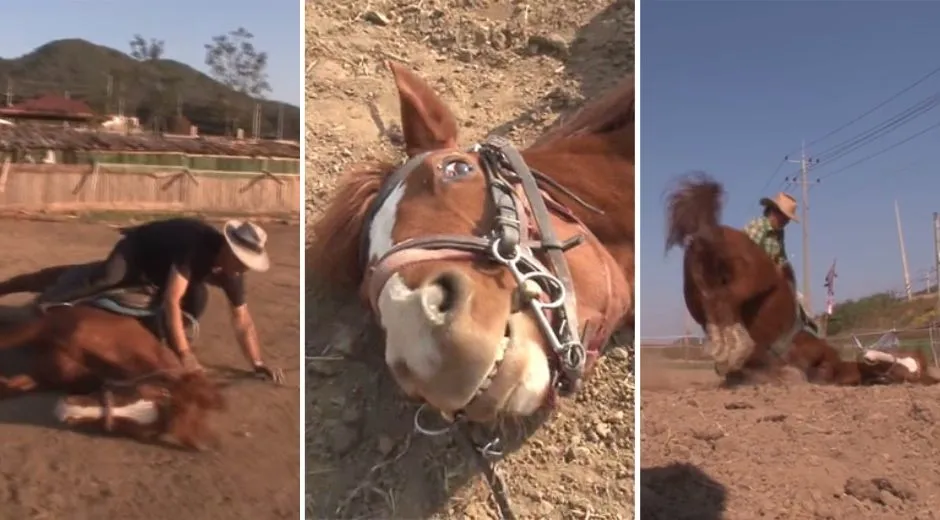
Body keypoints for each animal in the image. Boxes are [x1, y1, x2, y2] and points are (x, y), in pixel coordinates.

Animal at [0, 262, 227, 449]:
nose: (64, 412)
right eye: (143, 391)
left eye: (139, 431)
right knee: (16, 283)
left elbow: (11, 387)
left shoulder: (45, 374)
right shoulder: (40, 326)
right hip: (48, 279)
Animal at [663, 172, 940, 386]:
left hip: (695, 290)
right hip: (743, 285)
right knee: (723, 303)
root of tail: (709, 232)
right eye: (905, 369)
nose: (873, 359)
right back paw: (734, 348)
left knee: (712, 308)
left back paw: (726, 350)